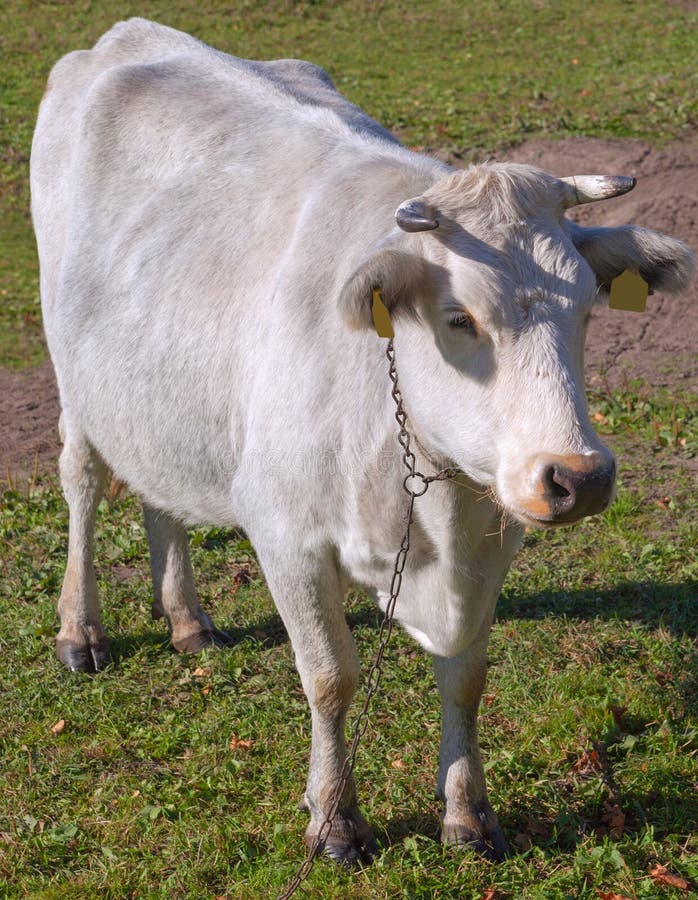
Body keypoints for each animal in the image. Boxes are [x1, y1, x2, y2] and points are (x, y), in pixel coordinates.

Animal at [31, 18, 693, 865]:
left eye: (586, 309)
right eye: (459, 317)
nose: (579, 476)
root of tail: (128, 34)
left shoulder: (493, 536)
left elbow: (466, 675)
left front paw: (467, 813)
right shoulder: (285, 534)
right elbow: (330, 676)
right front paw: (335, 818)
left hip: (158, 390)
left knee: (160, 490)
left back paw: (186, 618)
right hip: (73, 373)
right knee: (82, 479)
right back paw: (79, 630)